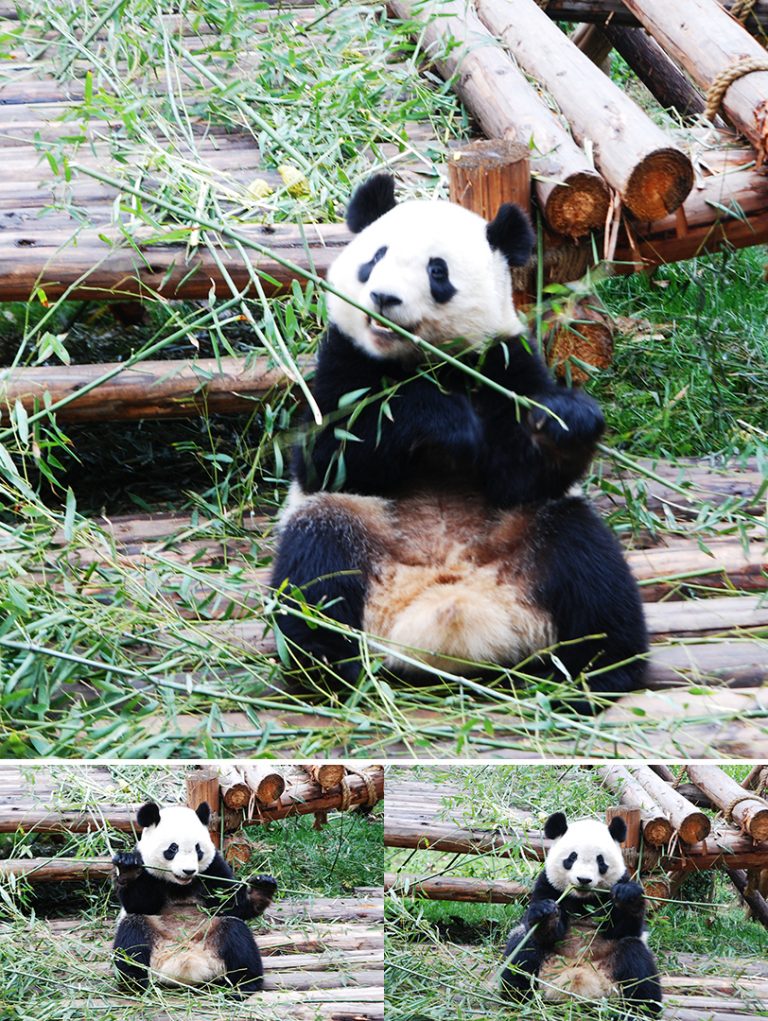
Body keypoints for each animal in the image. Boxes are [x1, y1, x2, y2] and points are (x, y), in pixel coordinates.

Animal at [111, 801, 277, 995]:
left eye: (198, 849)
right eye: (172, 848)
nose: (189, 871)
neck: (180, 884)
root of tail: (186, 962)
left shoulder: (213, 867)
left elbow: (231, 903)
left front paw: (261, 887)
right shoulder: (147, 868)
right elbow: (138, 904)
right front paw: (128, 867)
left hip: (212, 933)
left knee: (237, 935)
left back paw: (245, 984)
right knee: (132, 936)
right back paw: (133, 983)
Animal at [270, 173, 647, 710]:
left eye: (437, 271)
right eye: (375, 258)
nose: (384, 298)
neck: (420, 361)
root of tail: (448, 610)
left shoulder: (506, 362)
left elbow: (521, 474)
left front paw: (564, 419)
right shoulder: (343, 363)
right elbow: (329, 454)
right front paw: (447, 421)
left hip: (527, 536)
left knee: (588, 562)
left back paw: (599, 673)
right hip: (357, 533)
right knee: (316, 566)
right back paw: (326, 671)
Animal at [501, 812, 662, 1015]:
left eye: (600, 861)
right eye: (571, 858)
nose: (583, 880)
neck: (583, 899)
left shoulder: (618, 883)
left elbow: (626, 928)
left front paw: (628, 897)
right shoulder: (548, 884)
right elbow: (547, 931)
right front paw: (546, 912)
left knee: (636, 960)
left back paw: (641, 1011)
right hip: (546, 969)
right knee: (523, 949)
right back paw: (517, 999)